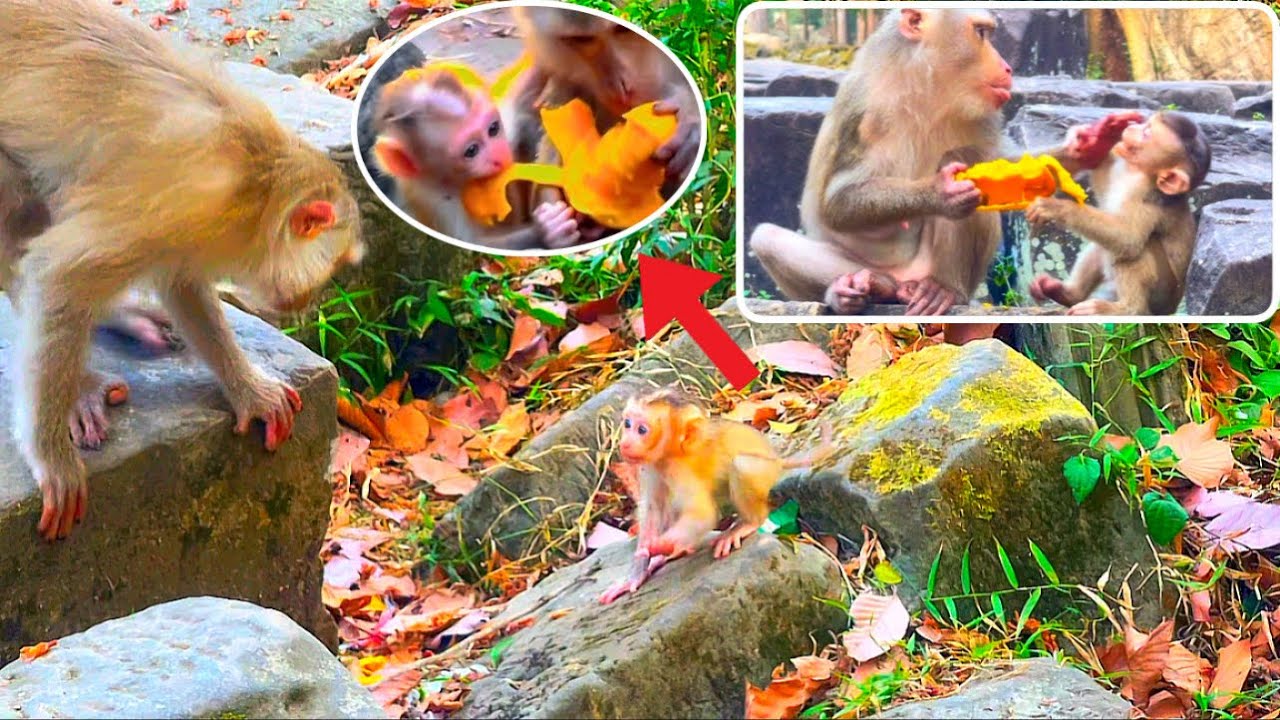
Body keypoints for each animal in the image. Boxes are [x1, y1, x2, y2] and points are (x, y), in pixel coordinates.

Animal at [0, 0, 365, 541]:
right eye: (326, 271)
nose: (303, 305)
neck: (259, 184)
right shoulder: (191, 200)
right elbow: (59, 273)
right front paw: (50, 459)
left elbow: (182, 284)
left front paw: (248, 390)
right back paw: (79, 386)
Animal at [371, 63, 580, 250]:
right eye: (471, 151)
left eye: (493, 129)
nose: (500, 156)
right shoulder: (437, 202)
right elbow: (475, 242)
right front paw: (545, 231)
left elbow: (523, 99)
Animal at [599, 390, 832, 604]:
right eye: (627, 423)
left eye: (642, 430)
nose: (625, 443)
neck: (669, 456)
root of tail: (777, 459)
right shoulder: (651, 467)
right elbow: (653, 510)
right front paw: (637, 573)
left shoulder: (679, 471)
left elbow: (703, 515)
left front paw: (662, 546)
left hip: (767, 472)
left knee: (741, 465)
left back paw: (747, 524)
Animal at [748, 9, 1013, 327]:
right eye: (981, 33)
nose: (1008, 68)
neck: (928, 88)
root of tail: (907, 278)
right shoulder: (864, 111)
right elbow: (837, 202)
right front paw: (940, 193)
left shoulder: (986, 118)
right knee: (767, 239)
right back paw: (866, 288)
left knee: (966, 158)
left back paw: (943, 289)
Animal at [1026, 110, 1211, 316]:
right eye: (1145, 125)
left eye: (1146, 133)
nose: (1132, 128)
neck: (1138, 173)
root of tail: (1170, 309)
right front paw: (1097, 137)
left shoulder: (1146, 197)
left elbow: (1128, 238)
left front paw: (1056, 208)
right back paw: (1068, 294)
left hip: (1160, 295)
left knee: (1136, 248)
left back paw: (1126, 309)